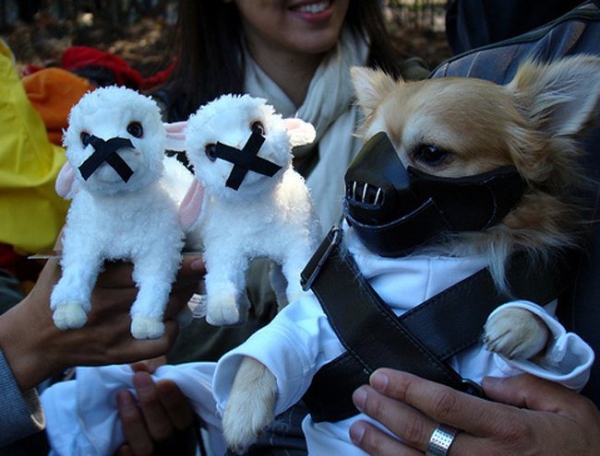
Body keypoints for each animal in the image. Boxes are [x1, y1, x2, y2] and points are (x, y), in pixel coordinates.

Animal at [213, 54, 596, 452]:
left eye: (432, 153)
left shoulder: (498, 370)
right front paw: (241, 411)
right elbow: (269, 349)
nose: (360, 184)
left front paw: (521, 321)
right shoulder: (317, 319)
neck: (430, 253)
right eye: (368, 148)